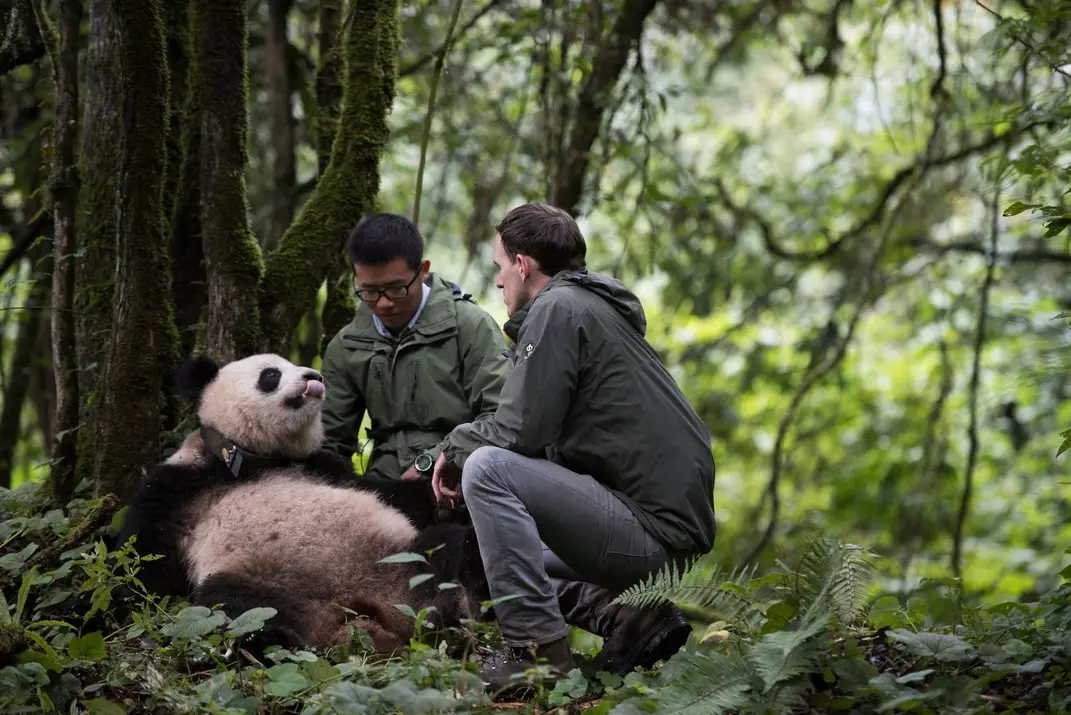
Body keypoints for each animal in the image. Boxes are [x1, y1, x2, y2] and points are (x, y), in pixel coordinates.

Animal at [115, 351, 488, 655]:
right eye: (270, 374)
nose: (315, 377)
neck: (254, 457)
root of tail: (360, 611)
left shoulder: (324, 468)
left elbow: (396, 496)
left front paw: (446, 488)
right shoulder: (181, 484)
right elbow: (143, 559)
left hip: (405, 561)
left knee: (456, 547)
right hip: (270, 586)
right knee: (235, 606)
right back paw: (276, 638)